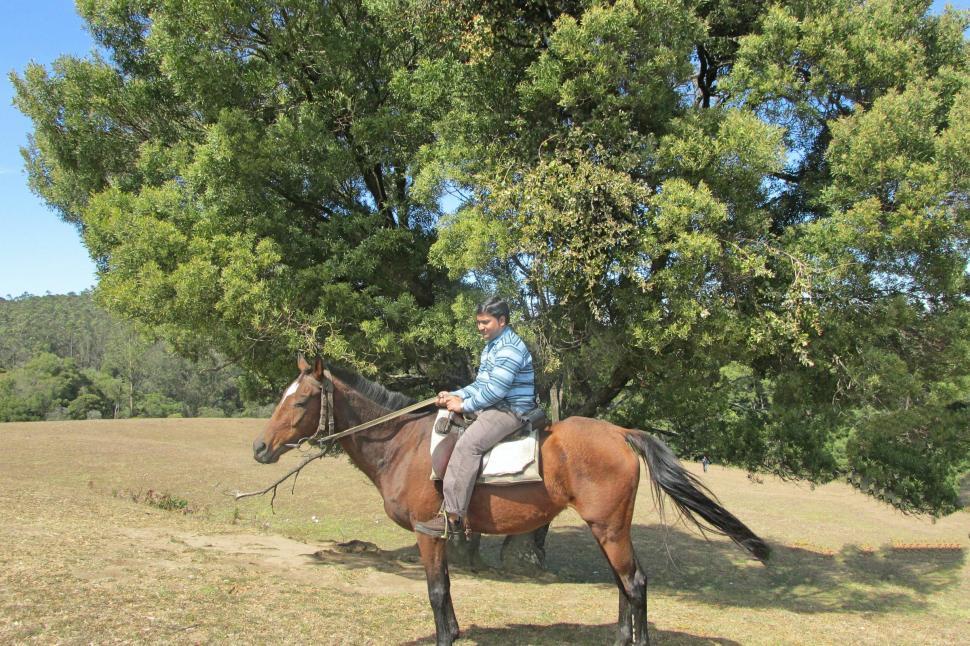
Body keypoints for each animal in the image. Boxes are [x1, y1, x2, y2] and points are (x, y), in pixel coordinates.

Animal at [252, 355, 769, 646]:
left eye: (301, 402)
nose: (260, 447)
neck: (404, 444)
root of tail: (620, 432)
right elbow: (446, 590)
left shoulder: (428, 532)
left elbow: (436, 591)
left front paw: (446, 636)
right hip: (608, 528)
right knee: (626, 584)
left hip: (609, 528)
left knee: (636, 583)